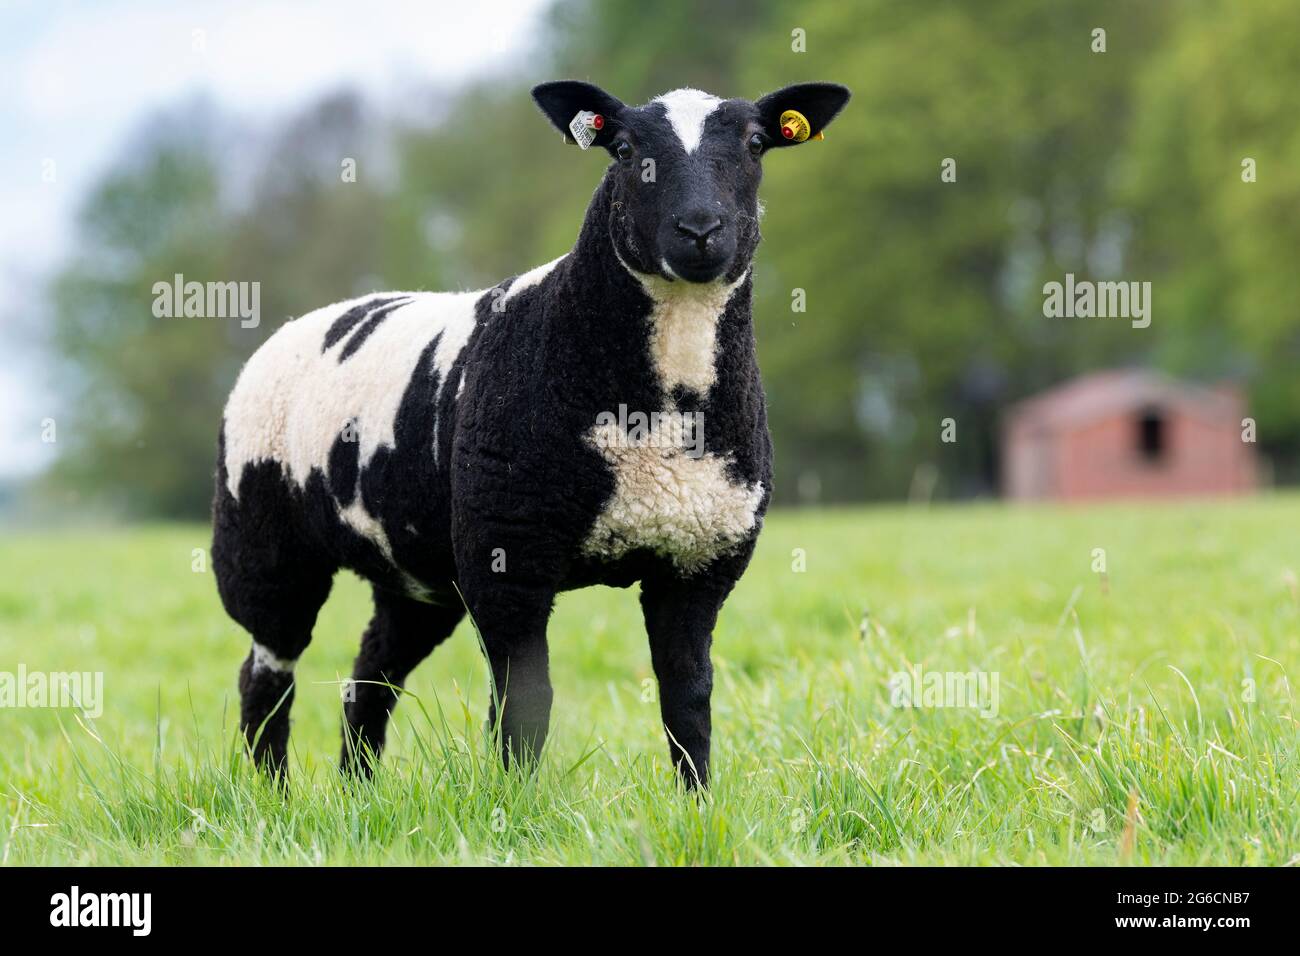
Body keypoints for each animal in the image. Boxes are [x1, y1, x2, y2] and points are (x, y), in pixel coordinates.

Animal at [212, 79, 851, 787]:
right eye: (623, 149)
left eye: (757, 143)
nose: (700, 231)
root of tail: (295, 326)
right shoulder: (508, 555)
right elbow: (525, 701)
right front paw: (515, 800)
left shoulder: (700, 557)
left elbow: (689, 699)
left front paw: (698, 803)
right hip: (262, 541)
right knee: (266, 673)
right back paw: (272, 791)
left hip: (418, 571)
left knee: (370, 672)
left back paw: (358, 789)